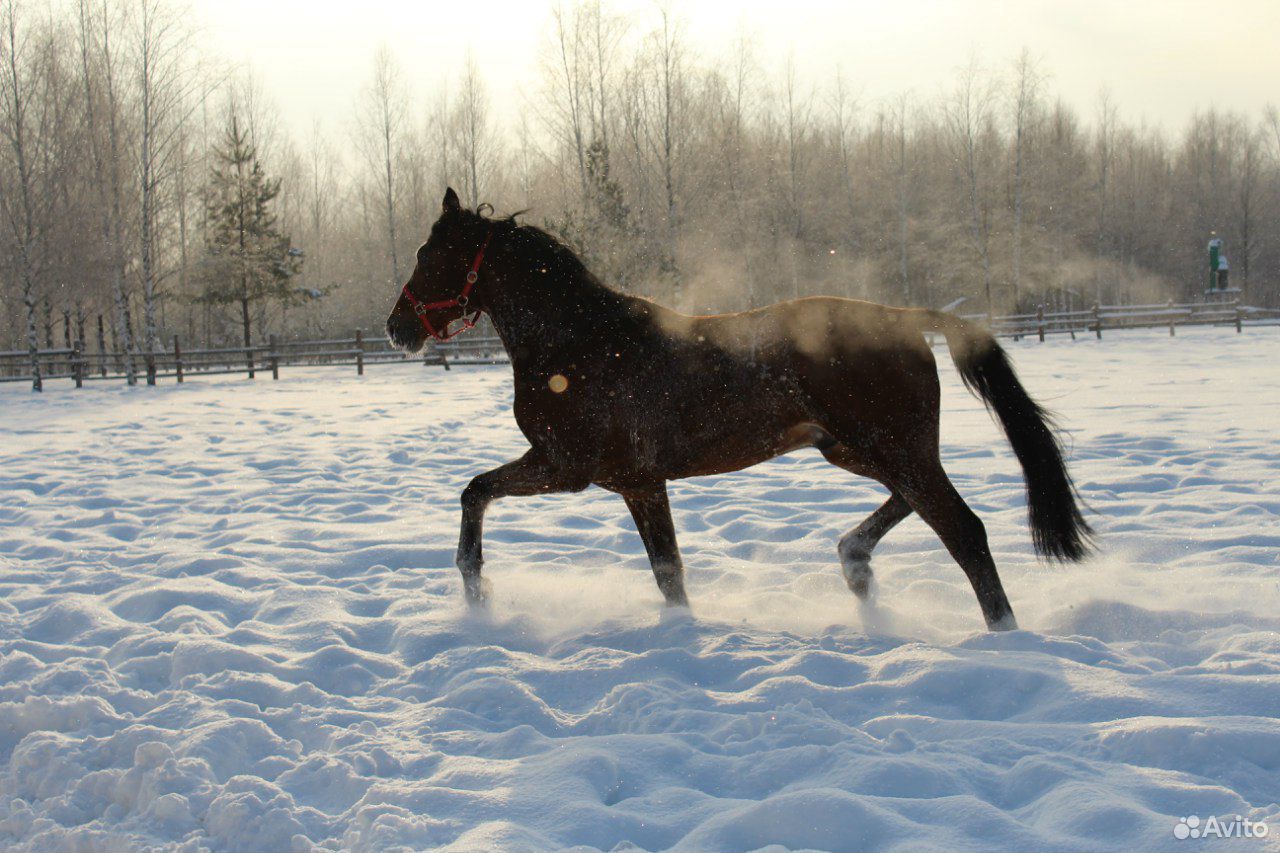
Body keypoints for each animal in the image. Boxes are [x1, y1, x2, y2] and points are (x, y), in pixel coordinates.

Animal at [386, 188, 1092, 631]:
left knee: (964, 531)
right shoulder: (623, 480)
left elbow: (480, 494)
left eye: (431, 256)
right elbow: (664, 572)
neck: (580, 341)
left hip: (894, 450)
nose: (397, 328)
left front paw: (476, 588)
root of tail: (905, 318)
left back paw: (1003, 635)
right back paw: (854, 561)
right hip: (855, 450)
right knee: (914, 508)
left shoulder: (578, 469)